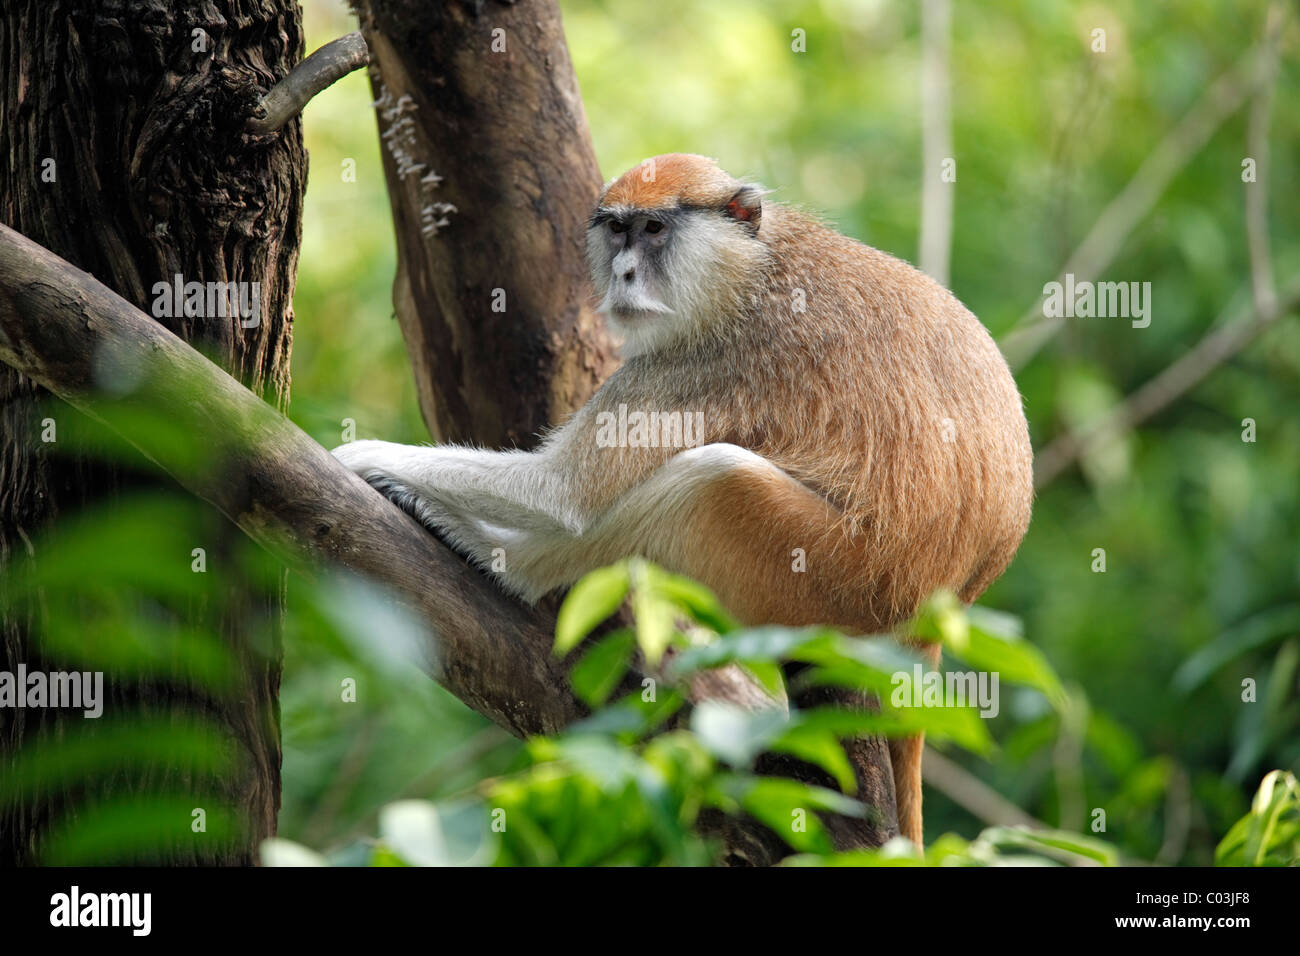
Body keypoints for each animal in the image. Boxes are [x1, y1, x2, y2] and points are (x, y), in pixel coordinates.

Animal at [332, 153, 1034, 847]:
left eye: (654, 230)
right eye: (618, 230)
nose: (623, 272)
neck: (749, 265)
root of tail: (940, 610)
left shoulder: (699, 365)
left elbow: (563, 494)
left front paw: (364, 457)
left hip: (840, 580)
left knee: (714, 477)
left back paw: (510, 560)